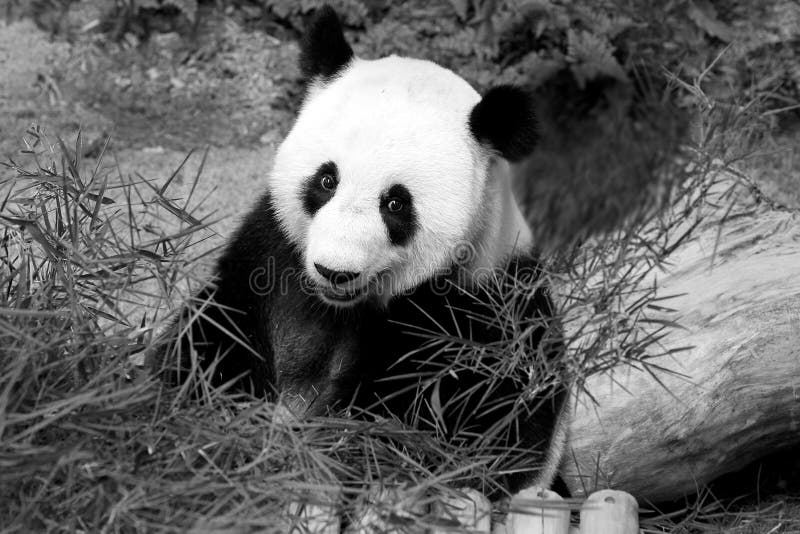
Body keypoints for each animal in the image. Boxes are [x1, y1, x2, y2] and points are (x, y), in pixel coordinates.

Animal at [156, 6, 569, 495]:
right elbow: (215, 335)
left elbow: (465, 421)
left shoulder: (480, 309)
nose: (335, 271)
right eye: (326, 179)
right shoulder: (272, 249)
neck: (344, 306)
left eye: (396, 204)